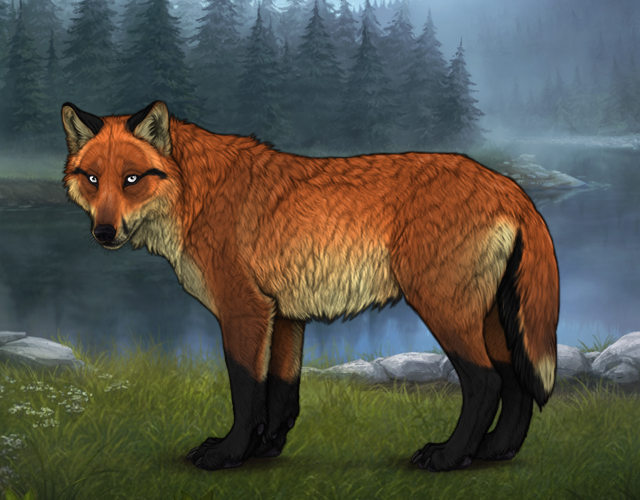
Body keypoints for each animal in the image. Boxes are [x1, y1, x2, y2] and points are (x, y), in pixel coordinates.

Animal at [61, 101, 559, 472]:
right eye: (93, 179)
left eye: (131, 179)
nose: (103, 232)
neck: (196, 195)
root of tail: (509, 185)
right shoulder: (285, 315)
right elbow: (280, 392)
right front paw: (265, 449)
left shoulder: (246, 310)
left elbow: (246, 390)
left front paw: (228, 454)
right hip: (491, 319)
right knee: (516, 382)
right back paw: (496, 451)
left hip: (444, 310)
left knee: (485, 383)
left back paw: (450, 457)